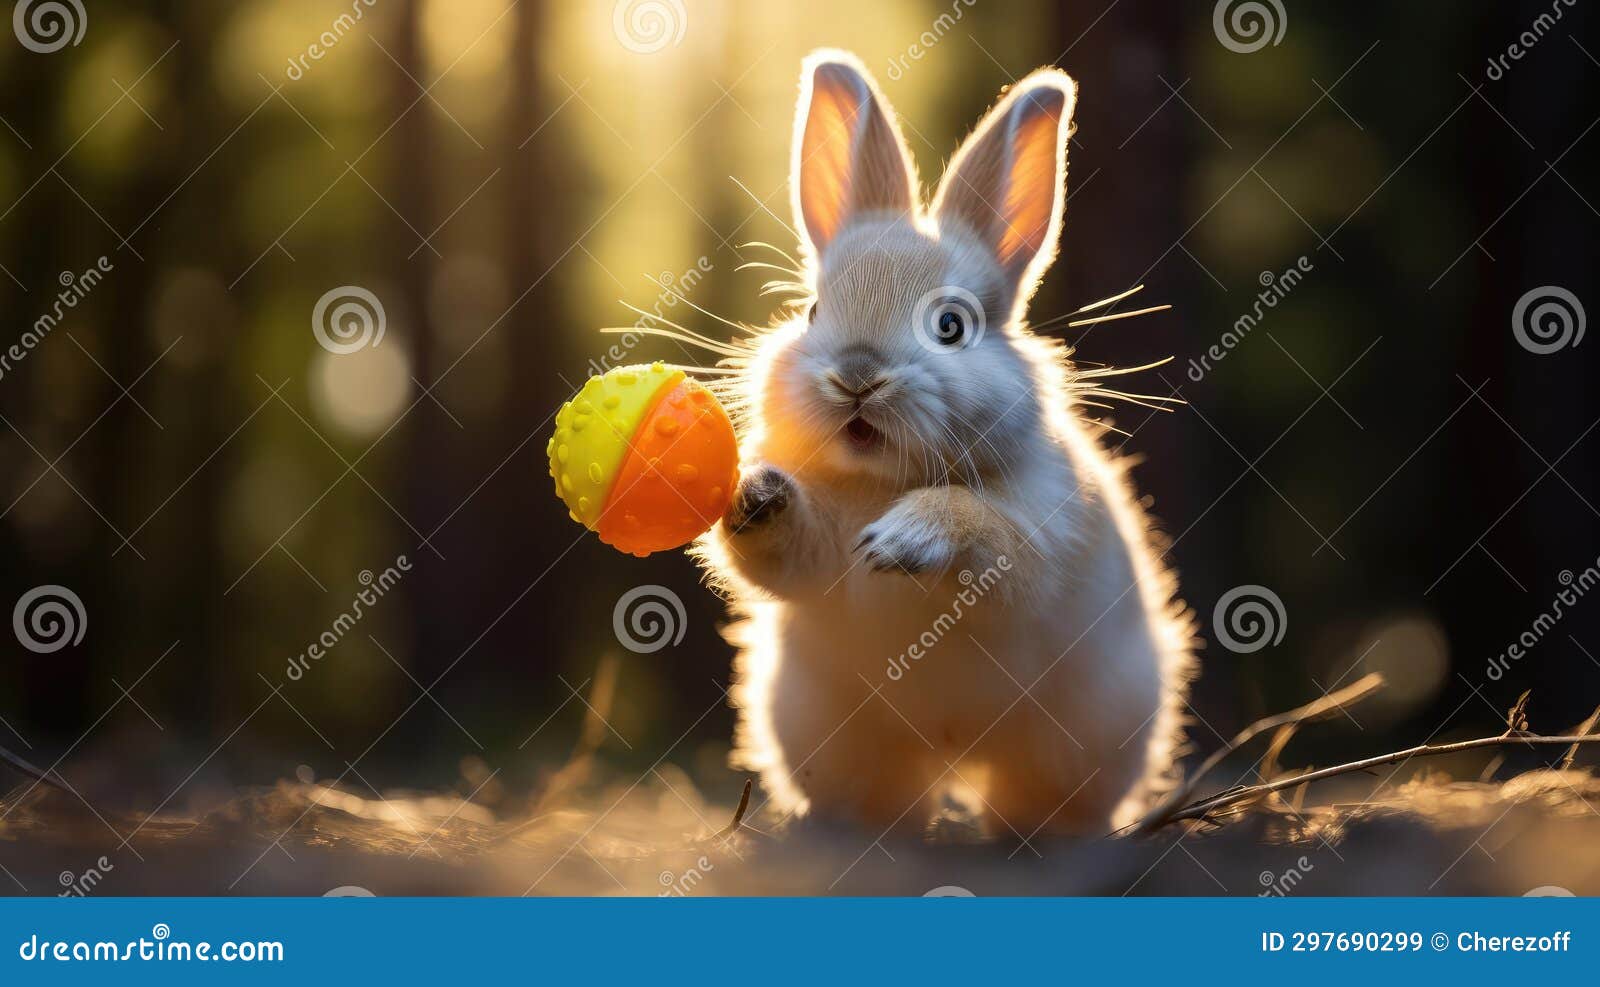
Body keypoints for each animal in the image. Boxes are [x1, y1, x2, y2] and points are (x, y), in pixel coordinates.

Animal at [692, 49, 1196, 839]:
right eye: (812, 311)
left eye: (951, 326)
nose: (856, 376)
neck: (883, 480)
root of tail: (956, 755)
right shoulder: (812, 555)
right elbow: (782, 553)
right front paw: (757, 493)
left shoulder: (1039, 540)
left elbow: (986, 534)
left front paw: (905, 539)